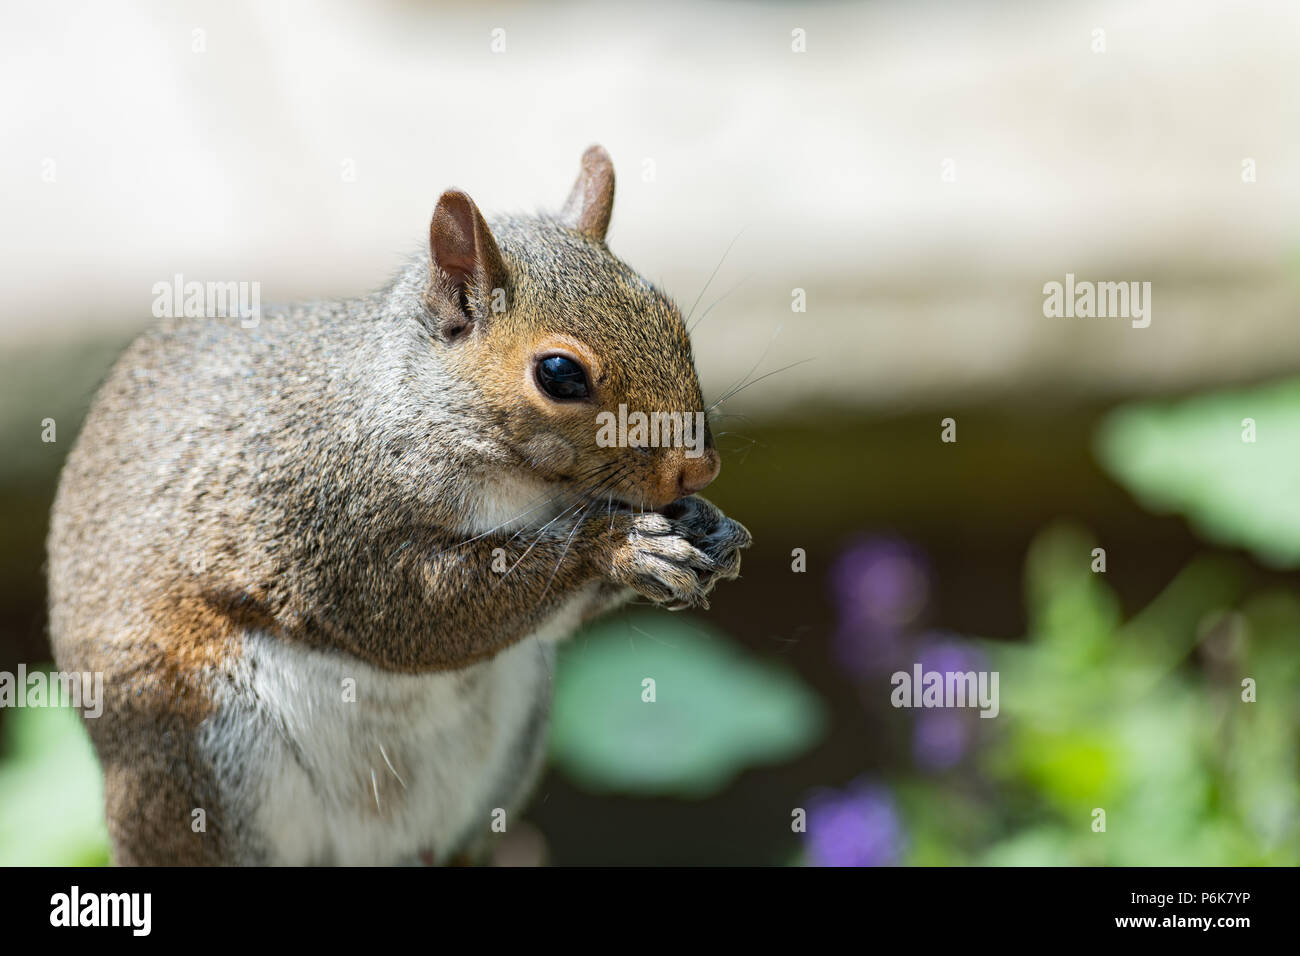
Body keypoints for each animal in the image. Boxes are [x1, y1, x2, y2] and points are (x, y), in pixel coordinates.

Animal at [46, 145, 751, 865]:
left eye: (671, 317)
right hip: (203, 754)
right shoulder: (329, 523)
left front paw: (709, 528)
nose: (697, 468)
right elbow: (416, 611)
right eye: (559, 374)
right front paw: (616, 545)